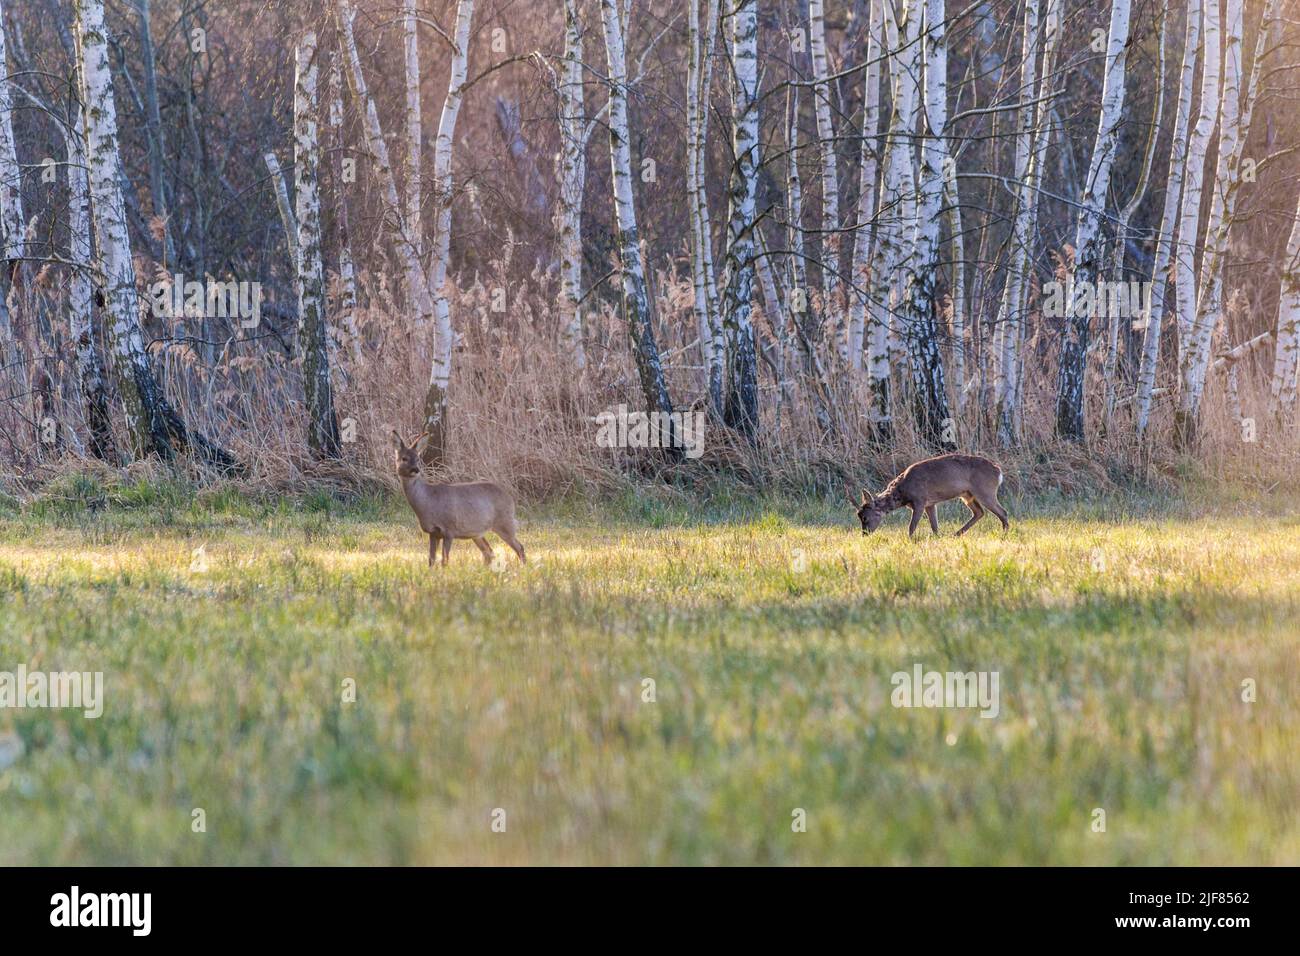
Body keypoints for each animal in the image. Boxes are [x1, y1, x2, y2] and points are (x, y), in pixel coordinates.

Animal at [392, 430, 526, 568]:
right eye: (404, 458)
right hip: (477, 532)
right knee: (489, 551)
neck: (428, 500)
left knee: (519, 547)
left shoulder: (449, 529)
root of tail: (510, 498)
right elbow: (431, 560)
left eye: (418, 459)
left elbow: (444, 561)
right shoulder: (433, 532)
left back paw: (522, 567)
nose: (415, 469)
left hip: (504, 522)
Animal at [850, 453, 1010, 538]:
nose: (864, 534)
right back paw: (956, 534)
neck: (902, 492)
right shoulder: (930, 504)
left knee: (1002, 511)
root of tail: (998, 471)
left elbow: (911, 526)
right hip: (967, 494)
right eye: (859, 516)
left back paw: (1004, 535)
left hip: (985, 490)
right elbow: (934, 526)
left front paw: (909, 541)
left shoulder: (920, 500)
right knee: (979, 512)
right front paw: (937, 538)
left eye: (865, 517)